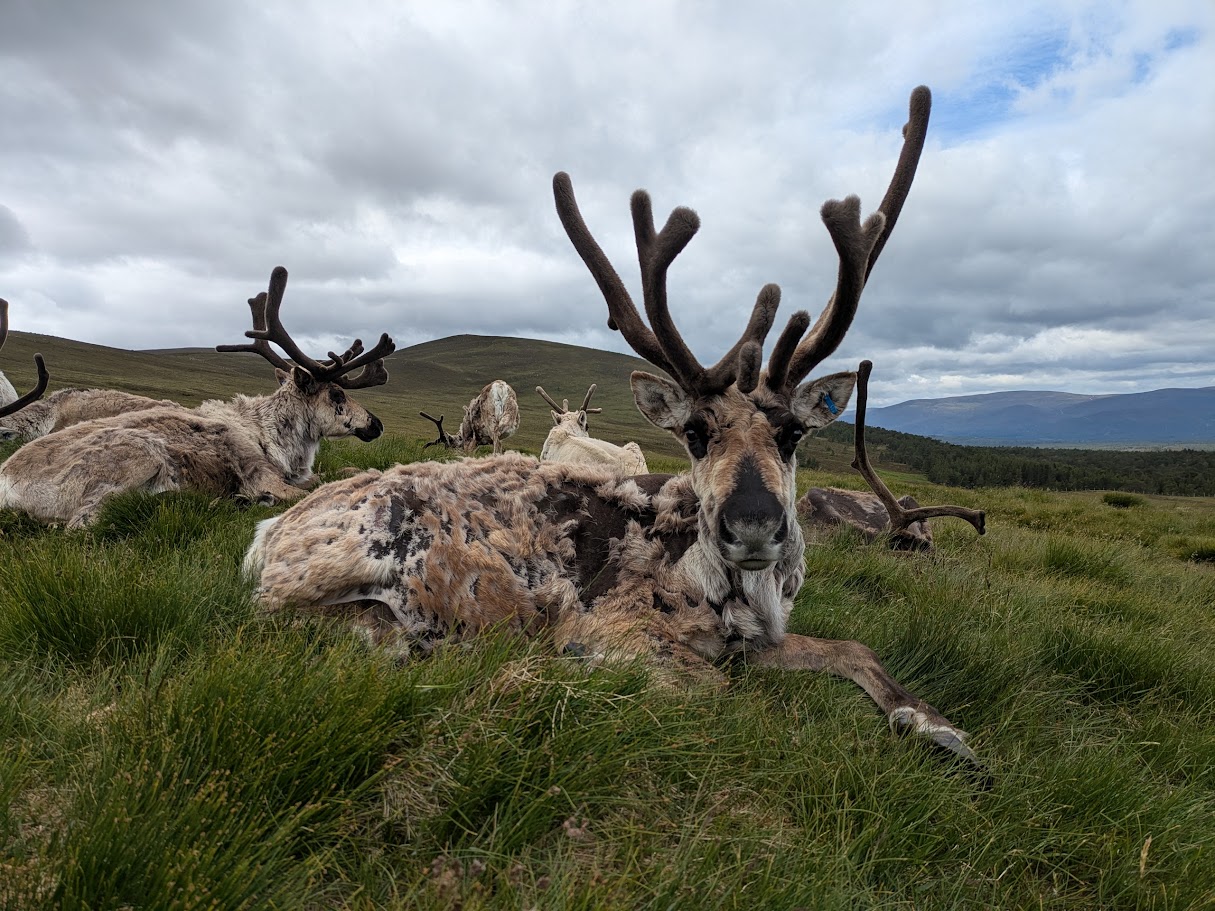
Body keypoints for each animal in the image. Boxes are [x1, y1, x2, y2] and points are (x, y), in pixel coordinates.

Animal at [0, 267, 394, 528]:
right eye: (337, 392)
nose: (377, 424)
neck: (275, 438)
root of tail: (5, 485)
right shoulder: (261, 473)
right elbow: (320, 488)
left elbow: (346, 470)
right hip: (138, 454)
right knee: (81, 523)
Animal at [243, 87, 981, 764]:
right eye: (694, 434)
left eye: (792, 434)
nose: (751, 524)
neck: (737, 592)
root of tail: (269, 529)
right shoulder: (625, 629)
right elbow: (725, 694)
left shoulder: (762, 637)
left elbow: (856, 648)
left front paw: (941, 727)